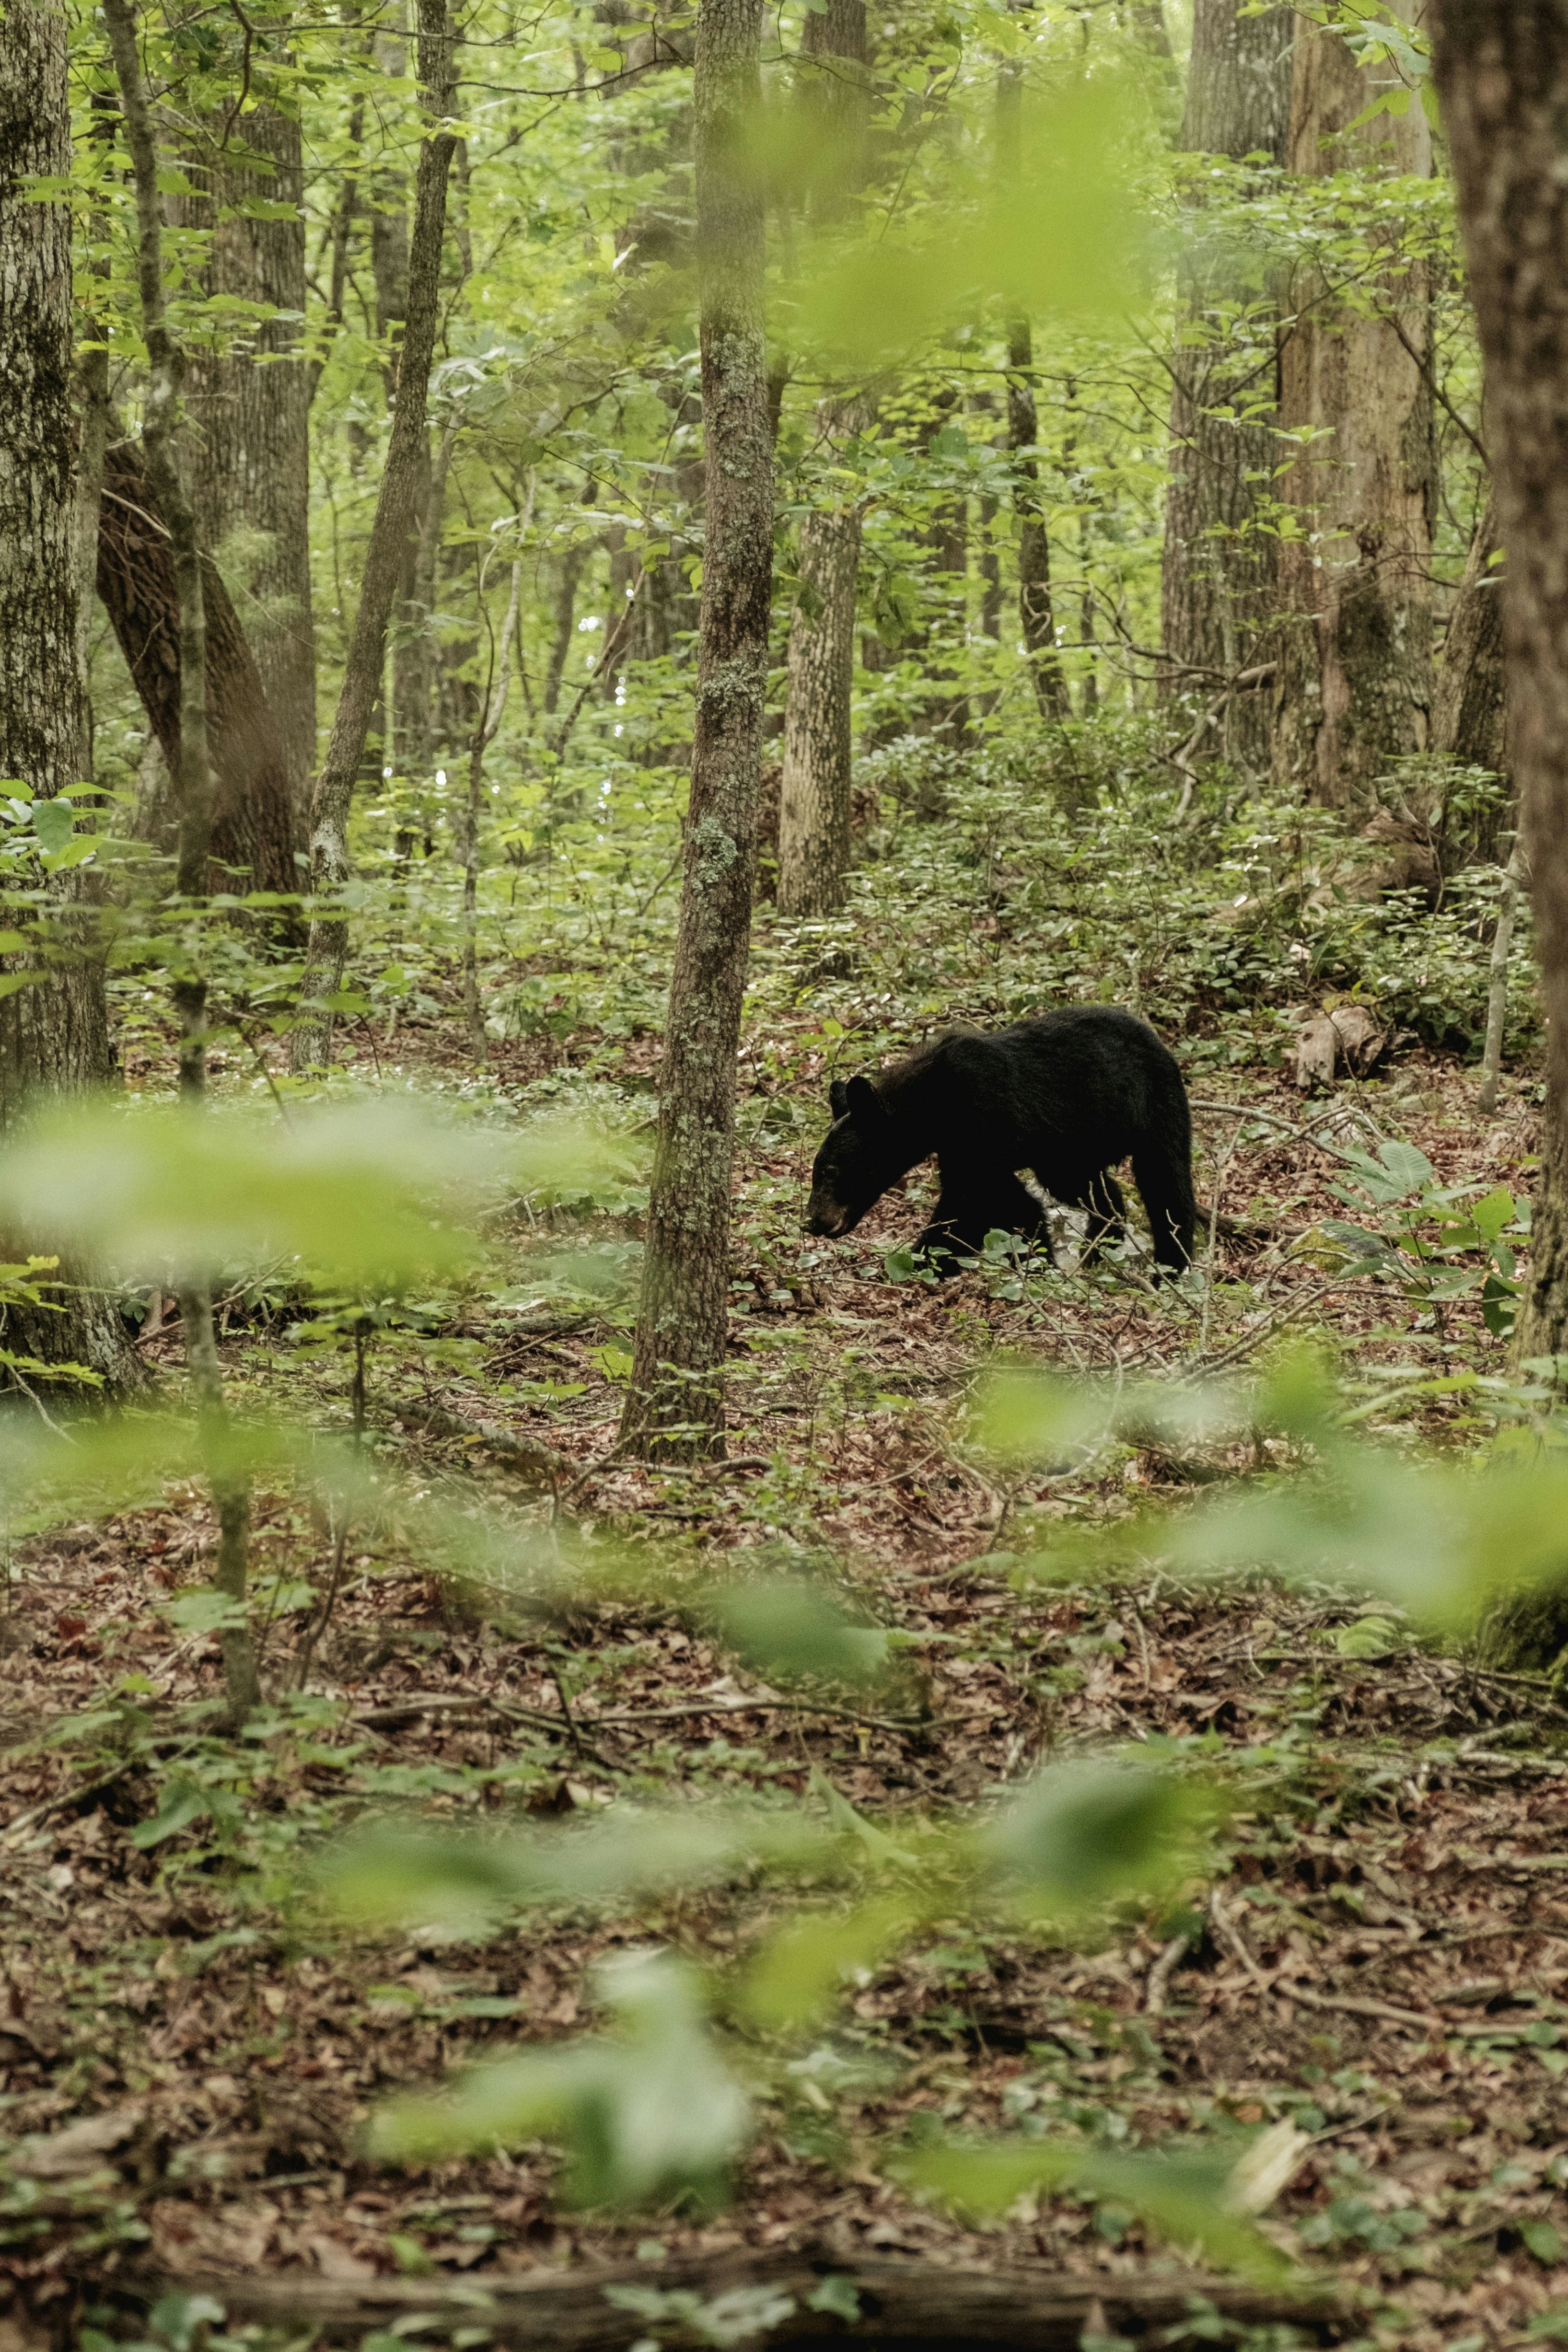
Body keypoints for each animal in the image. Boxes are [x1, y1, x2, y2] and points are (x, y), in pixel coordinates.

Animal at [805, 1006, 1196, 1278]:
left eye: (830, 1171)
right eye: (816, 1170)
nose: (812, 1221)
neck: (935, 1106)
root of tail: (1155, 1036)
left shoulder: (983, 1122)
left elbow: (966, 1204)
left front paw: (916, 1263)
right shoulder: (965, 1146)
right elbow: (1009, 1202)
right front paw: (1035, 1257)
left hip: (1155, 1107)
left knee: (1166, 1183)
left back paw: (1172, 1268)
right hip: (1066, 1152)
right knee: (1093, 1189)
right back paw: (1099, 1248)